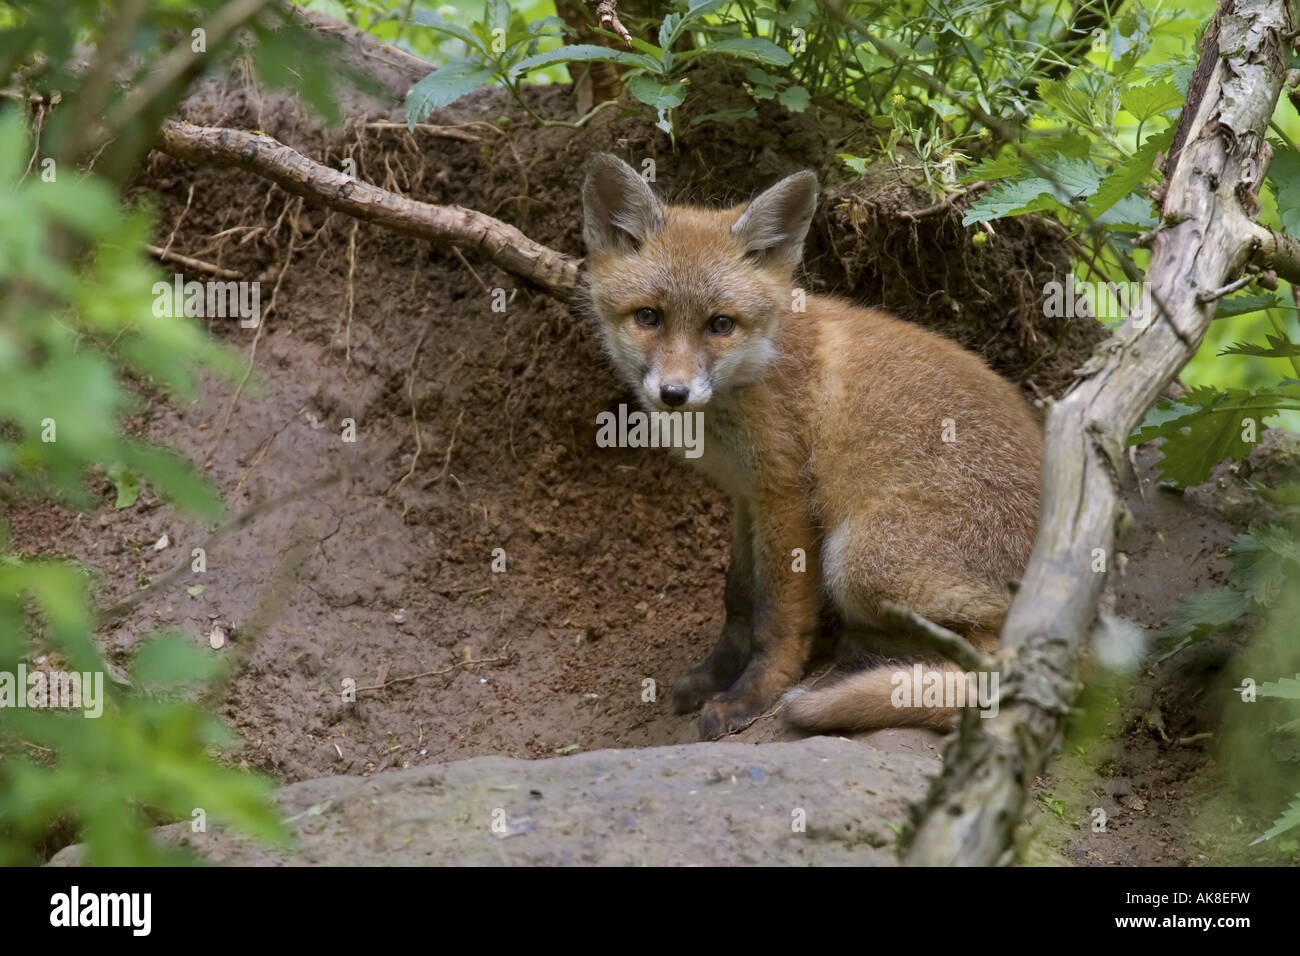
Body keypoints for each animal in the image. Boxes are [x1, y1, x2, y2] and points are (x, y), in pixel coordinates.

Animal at [581, 153, 1042, 740]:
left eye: (720, 325)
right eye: (648, 317)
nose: (674, 393)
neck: (756, 369)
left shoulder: (786, 494)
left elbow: (776, 616)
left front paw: (752, 695)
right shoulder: (746, 492)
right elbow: (738, 598)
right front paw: (715, 674)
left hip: (857, 561)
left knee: (977, 651)